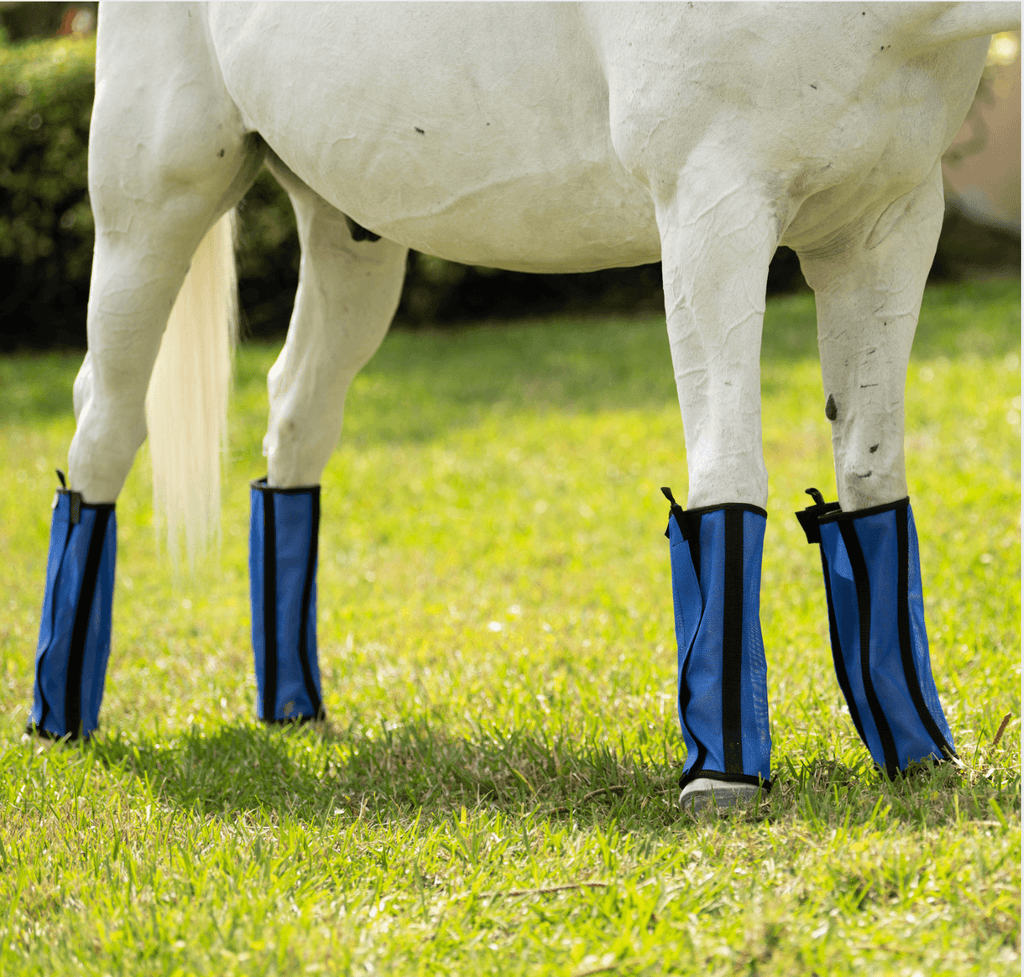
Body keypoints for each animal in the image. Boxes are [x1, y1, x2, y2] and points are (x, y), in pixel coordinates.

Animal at [27, 2, 1020, 810]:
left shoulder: (885, 228)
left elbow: (872, 478)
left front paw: (918, 750)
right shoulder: (713, 210)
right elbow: (728, 471)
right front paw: (724, 773)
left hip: (348, 228)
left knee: (294, 421)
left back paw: (296, 711)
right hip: (156, 204)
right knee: (104, 423)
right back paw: (57, 717)